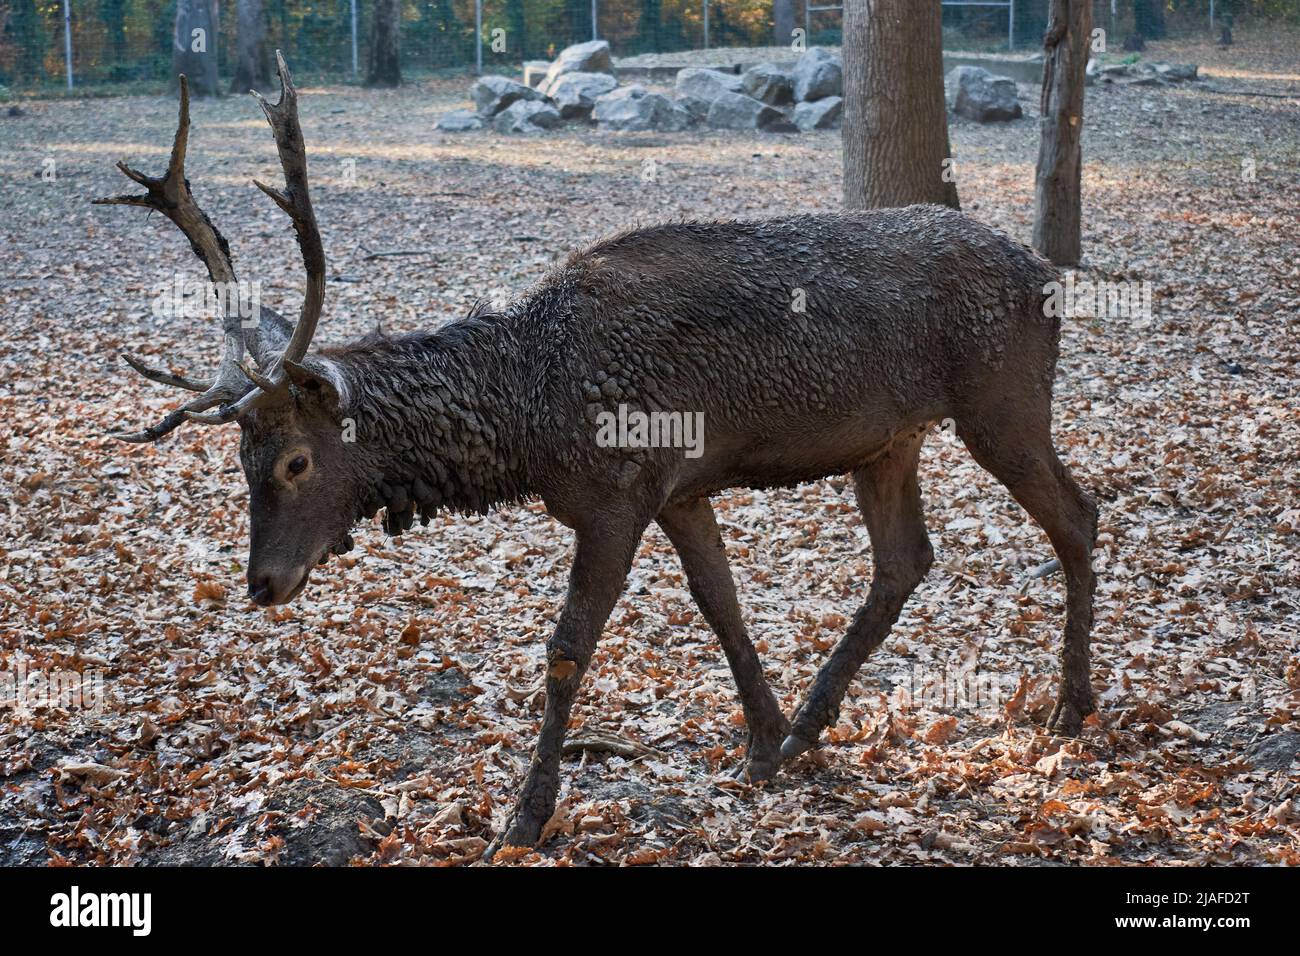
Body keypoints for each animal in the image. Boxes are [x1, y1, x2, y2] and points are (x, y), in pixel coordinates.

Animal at [95, 55, 1098, 854]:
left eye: (297, 462)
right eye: (239, 462)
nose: (263, 583)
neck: (531, 420)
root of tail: (1048, 276)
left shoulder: (617, 496)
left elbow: (568, 647)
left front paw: (525, 816)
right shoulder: (680, 489)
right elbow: (722, 608)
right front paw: (762, 744)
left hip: (1003, 403)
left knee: (1077, 515)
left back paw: (1070, 707)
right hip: (887, 439)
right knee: (905, 559)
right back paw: (814, 726)